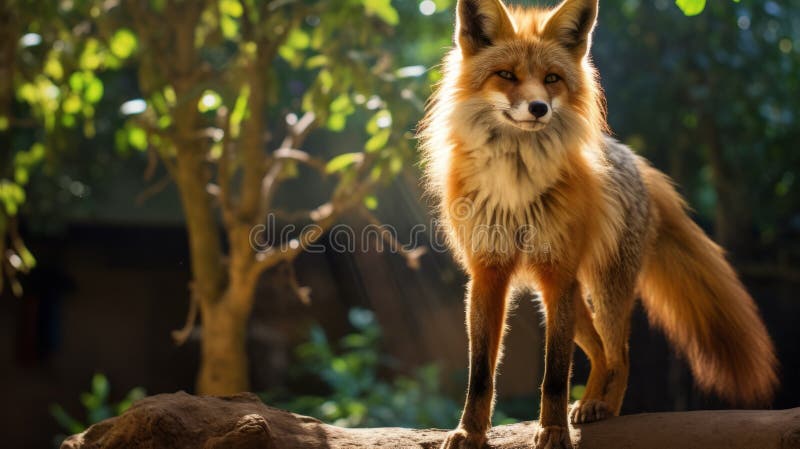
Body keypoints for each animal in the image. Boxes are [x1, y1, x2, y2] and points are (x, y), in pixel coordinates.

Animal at [418, 0, 779, 448]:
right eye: (506, 75)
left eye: (551, 79)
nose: (538, 108)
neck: (516, 184)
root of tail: (633, 159)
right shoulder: (488, 273)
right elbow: (481, 373)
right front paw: (470, 430)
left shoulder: (556, 273)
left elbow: (555, 374)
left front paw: (554, 430)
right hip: (568, 296)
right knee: (601, 354)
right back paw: (590, 403)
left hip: (600, 290)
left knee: (619, 354)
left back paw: (603, 407)